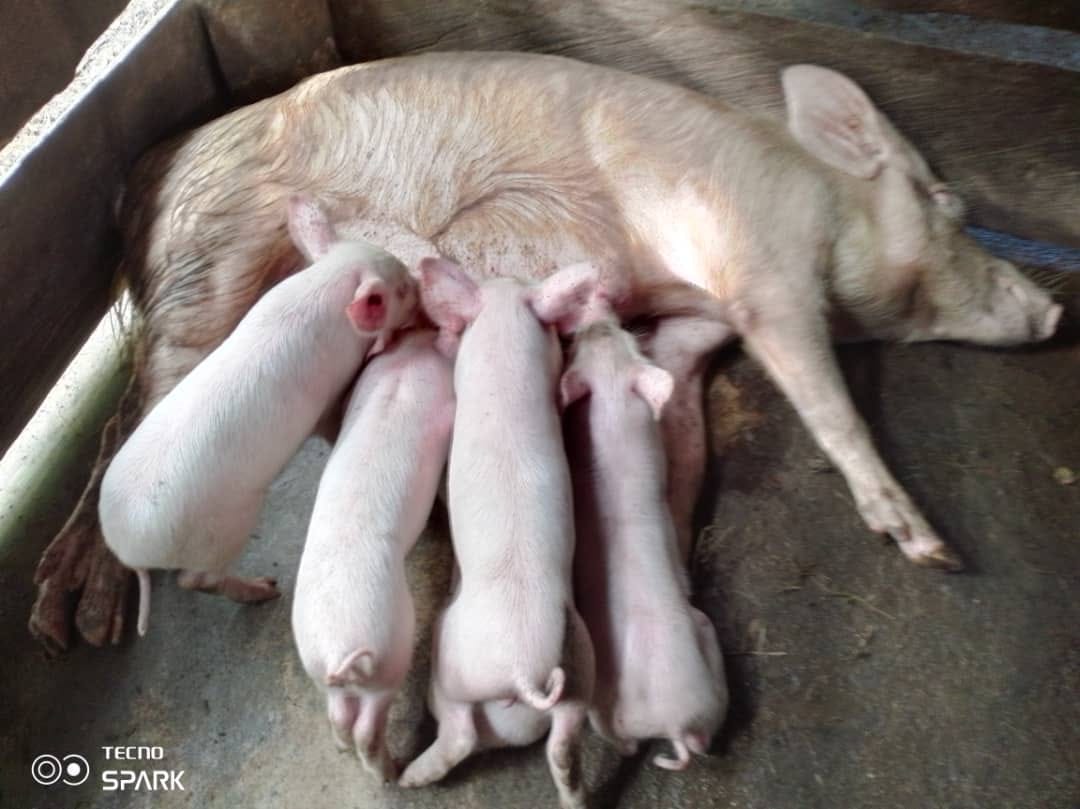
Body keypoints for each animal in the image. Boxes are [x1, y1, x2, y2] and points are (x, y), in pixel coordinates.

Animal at [97, 196, 417, 635]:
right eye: (399, 288)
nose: (419, 286)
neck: (326, 285)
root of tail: (127, 547)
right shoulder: (325, 395)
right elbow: (331, 420)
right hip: (224, 527)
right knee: (195, 579)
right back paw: (266, 589)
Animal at [292, 328, 454, 781]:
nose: (428, 329)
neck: (407, 362)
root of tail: (336, 650)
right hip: (389, 652)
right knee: (366, 725)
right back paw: (390, 773)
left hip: (319, 672)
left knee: (338, 716)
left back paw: (343, 750)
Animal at [397, 259, 599, 809]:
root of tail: (523, 666)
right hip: (580, 662)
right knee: (564, 746)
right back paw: (577, 799)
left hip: (450, 665)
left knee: (461, 735)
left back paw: (408, 777)